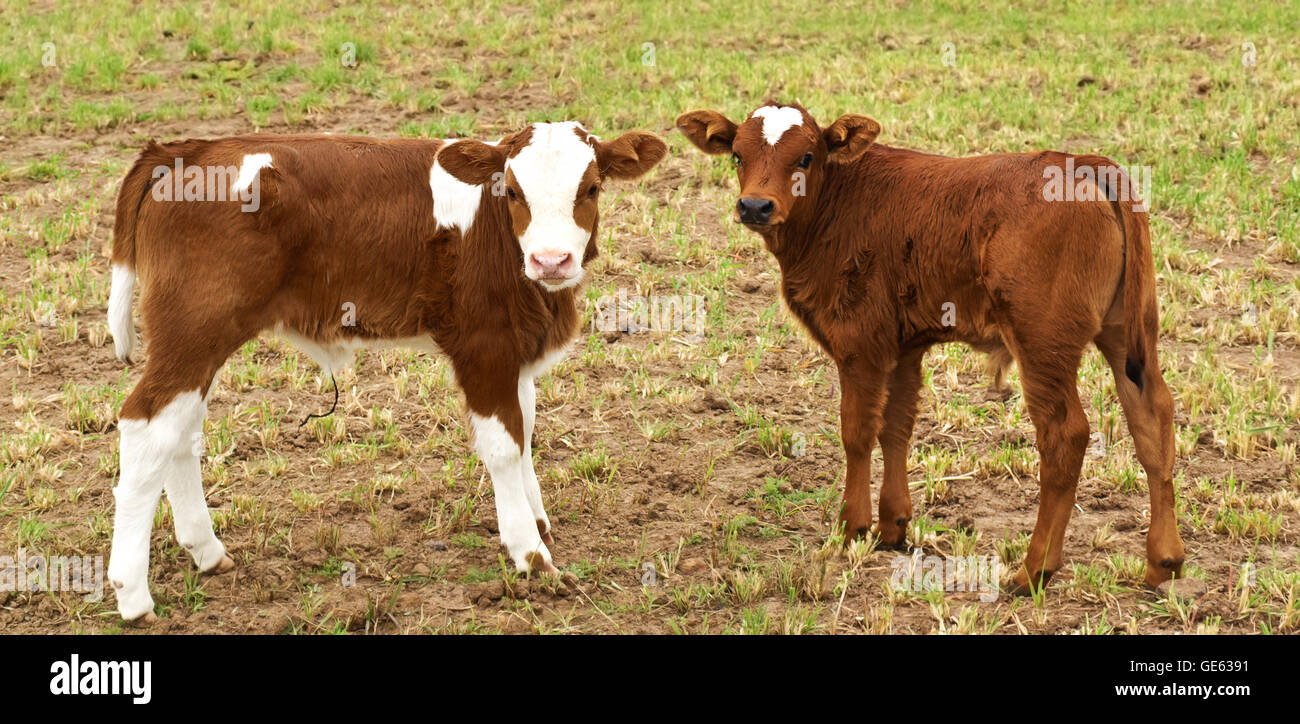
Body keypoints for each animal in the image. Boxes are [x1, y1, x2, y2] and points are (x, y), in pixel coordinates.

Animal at [106, 122, 667, 622]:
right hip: (192, 332)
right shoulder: (483, 348)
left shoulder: (516, 352)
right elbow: (505, 446)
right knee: (144, 428)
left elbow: (526, 430)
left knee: (180, 435)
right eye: (512, 191)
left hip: (198, 344)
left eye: (591, 188)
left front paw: (539, 523)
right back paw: (133, 595)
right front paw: (531, 554)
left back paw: (207, 551)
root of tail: (188, 148)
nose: (551, 260)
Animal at [676, 103, 1184, 594]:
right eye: (737, 155)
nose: (755, 206)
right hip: (1127, 333)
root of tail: (1080, 162)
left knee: (1065, 436)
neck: (836, 201)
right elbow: (896, 427)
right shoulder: (902, 348)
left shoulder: (858, 346)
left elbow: (857, 432)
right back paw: (1164, 561)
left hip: (1043, 343)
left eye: (805, 157)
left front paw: (852, 527)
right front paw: (893, 525)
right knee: (1151, 416)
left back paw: (1033, 570)